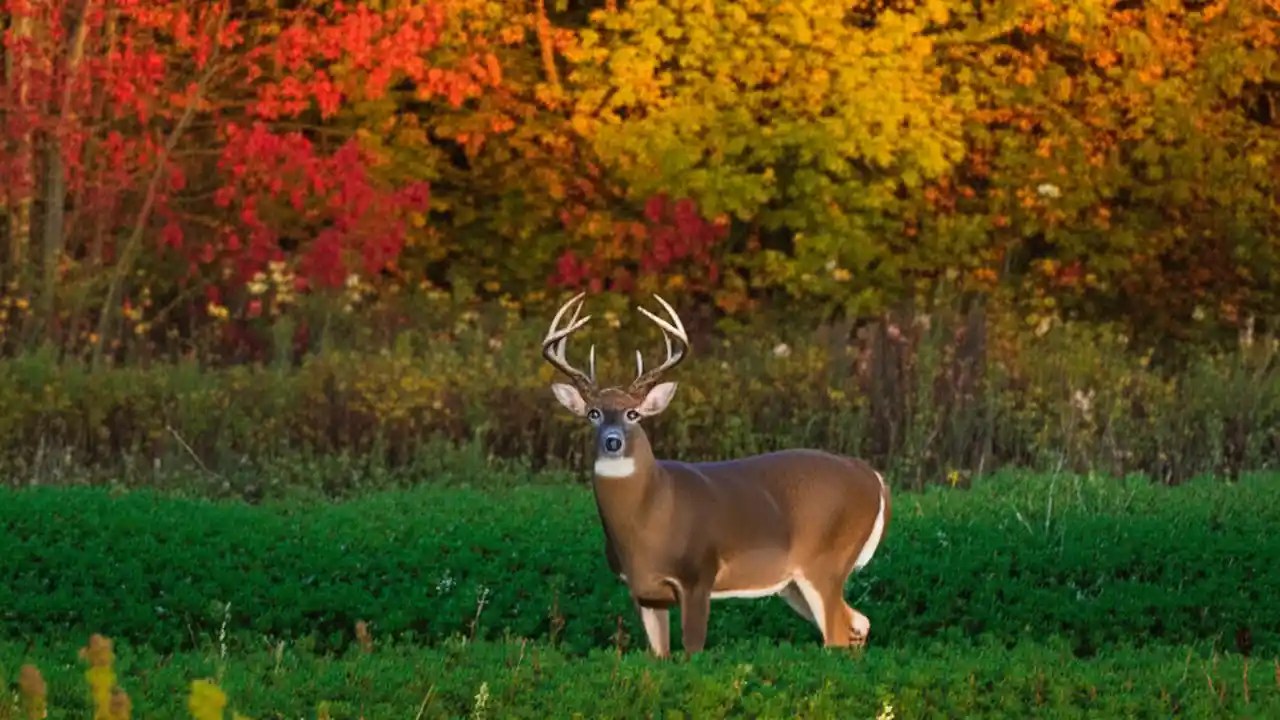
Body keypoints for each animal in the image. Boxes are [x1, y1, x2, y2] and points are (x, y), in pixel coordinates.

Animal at [541, 291, 892, 657]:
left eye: (633, 413)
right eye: (593, 413)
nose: (613, 441)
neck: (649, 514)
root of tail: (874, 477)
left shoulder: (698, 574)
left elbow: (692, 651)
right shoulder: (645, 592)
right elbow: (660, 656)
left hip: (826, 559)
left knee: (837, 633)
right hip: (793, 583)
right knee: (858, 622)